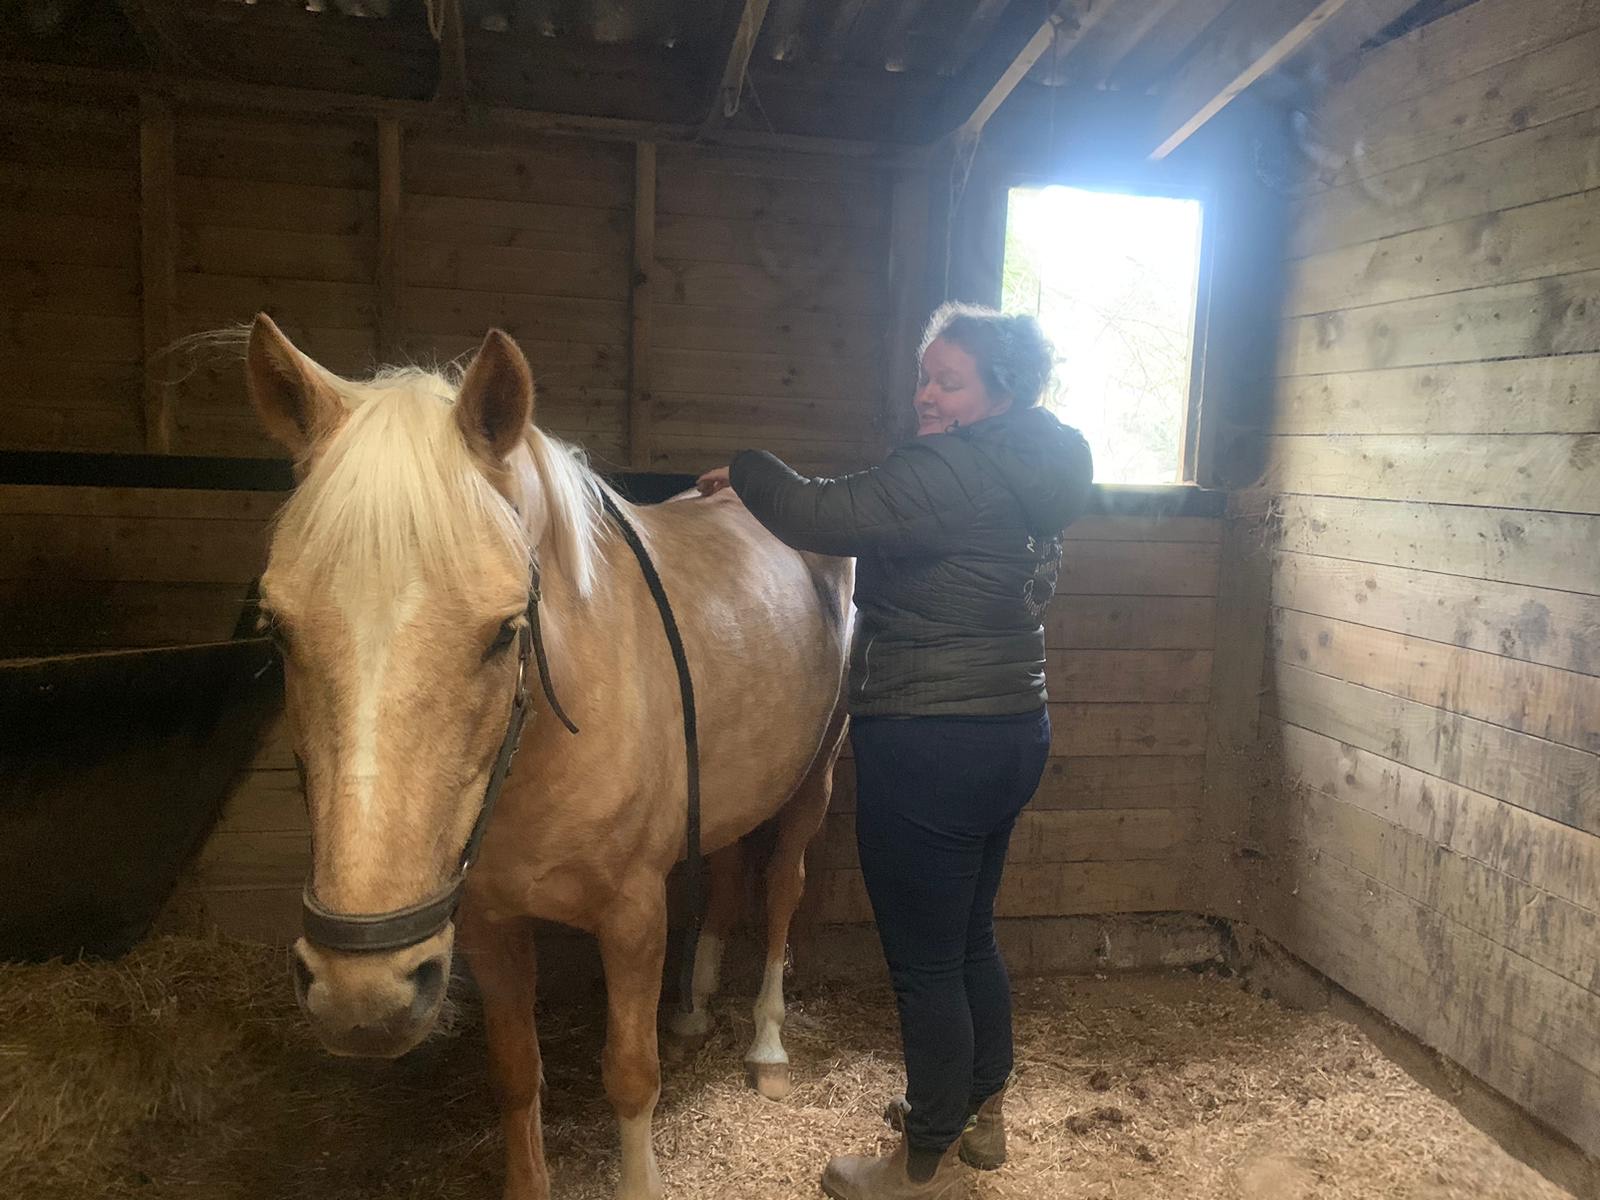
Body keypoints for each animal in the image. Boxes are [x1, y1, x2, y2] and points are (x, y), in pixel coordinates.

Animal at [242, 313, 853, 1200]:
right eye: (278, 629)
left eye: (504, 632)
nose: (364, 997)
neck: (541, 752)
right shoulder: (489, 922)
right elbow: (515, 1072)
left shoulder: (633, 914)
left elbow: (630, 1076)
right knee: (732, 869)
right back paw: (696, 1007)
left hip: (814, 782)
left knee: (779, 892)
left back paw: (766, 1045)